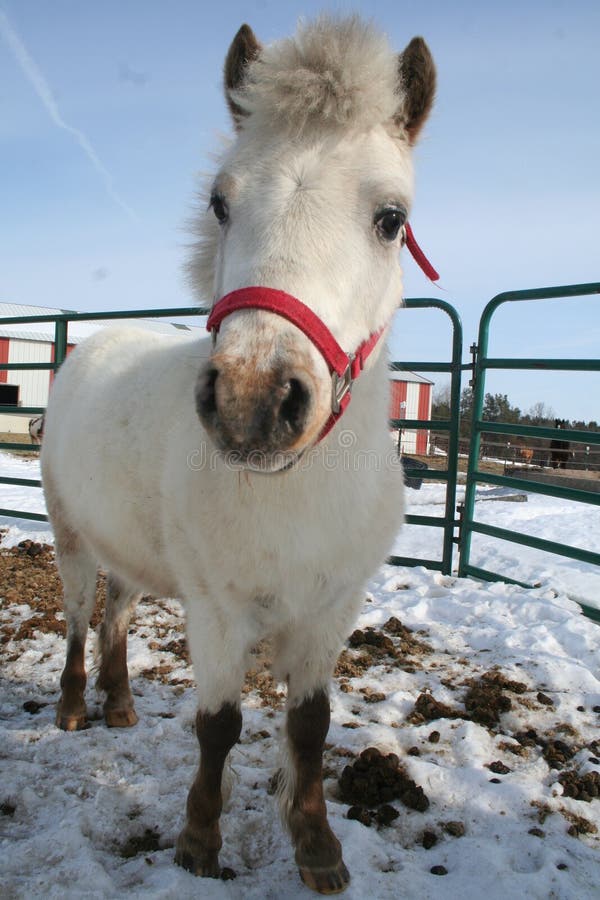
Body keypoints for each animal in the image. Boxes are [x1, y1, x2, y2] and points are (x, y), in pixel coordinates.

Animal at [41, 17, 436, 894]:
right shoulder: (218, 614)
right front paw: (198, 842)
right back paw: (77, 706)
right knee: (81, 617)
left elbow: (310, 725)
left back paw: (120, 705)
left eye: (390, 218)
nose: (253, 401)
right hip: (72, 538)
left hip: (134, 555)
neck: (295, 495)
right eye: (221, 202)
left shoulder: (330, 612)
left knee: (117, 615)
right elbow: (218, 725)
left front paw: (317, 847)